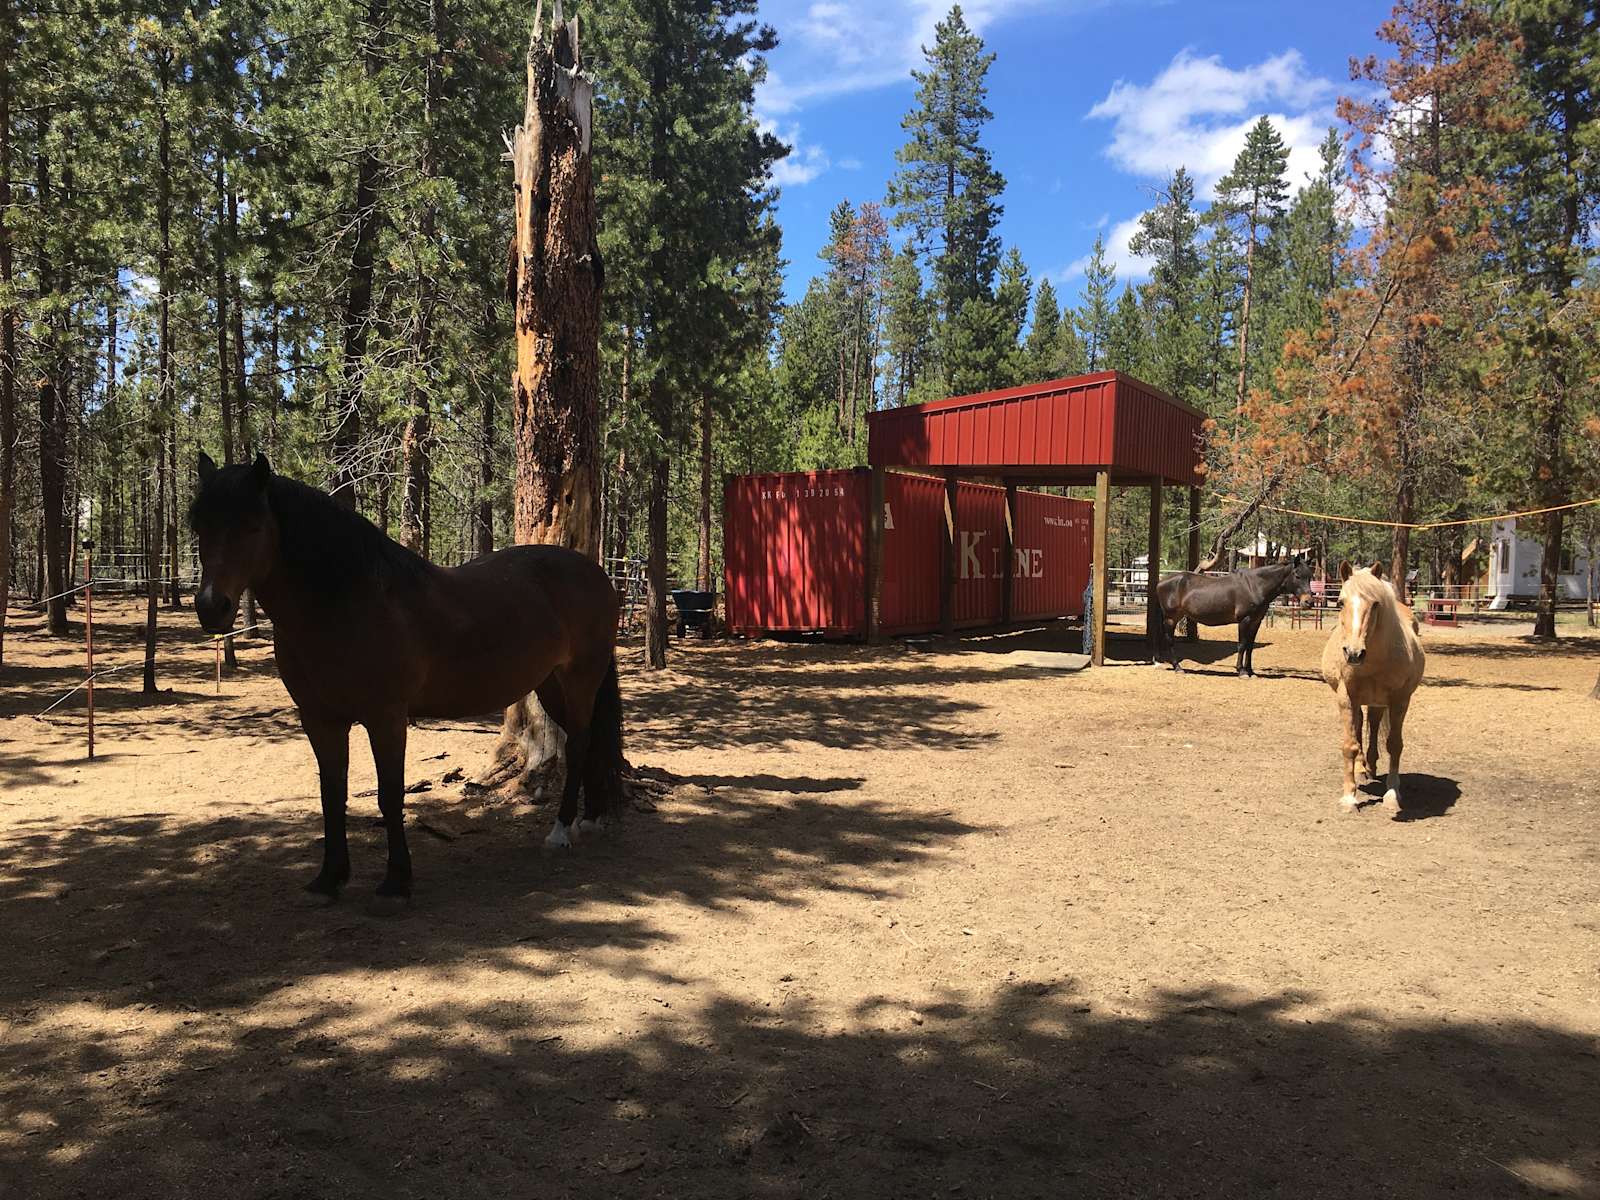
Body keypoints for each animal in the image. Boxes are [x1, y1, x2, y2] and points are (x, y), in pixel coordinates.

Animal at [189, 452, 623, 903]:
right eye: (199, 526)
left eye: (253, 526)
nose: (211, 607)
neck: (346, 605)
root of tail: (597, 574)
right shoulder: (320, 719)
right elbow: (332, 794)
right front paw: (330, 876)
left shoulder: (386, 718)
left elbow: (389, 794)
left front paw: (397, 879)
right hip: (550, 683)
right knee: (588, 740)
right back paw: (589, 819)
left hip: (579, 678)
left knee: (579, 743)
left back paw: (561, 832)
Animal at [1153, 557, 1312, 676]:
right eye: (1297, 575)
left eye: (1310, 577)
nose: (1308, 601)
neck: (1255, 586)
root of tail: (1161, 582)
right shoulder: (1244, 620)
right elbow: (1242, 645)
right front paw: (1241, 671)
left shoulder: (1256, 621)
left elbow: (1250, 646)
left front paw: (1250, 671)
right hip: (1170, 618)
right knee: (1169, 640)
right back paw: (1178, 667)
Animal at [1321, 561, 1425, 815]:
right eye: (1340, 602)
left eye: (1375, 604)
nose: (1354, 653)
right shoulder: (1346, 698)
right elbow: (1350, 745)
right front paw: (1349, 797)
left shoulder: (1399, 700)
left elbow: (1394, 745)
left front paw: (1392, 794)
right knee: (1360, 726)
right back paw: (1362, 769)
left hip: (1379, 701)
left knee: (1375, 725)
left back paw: (1372, 766)